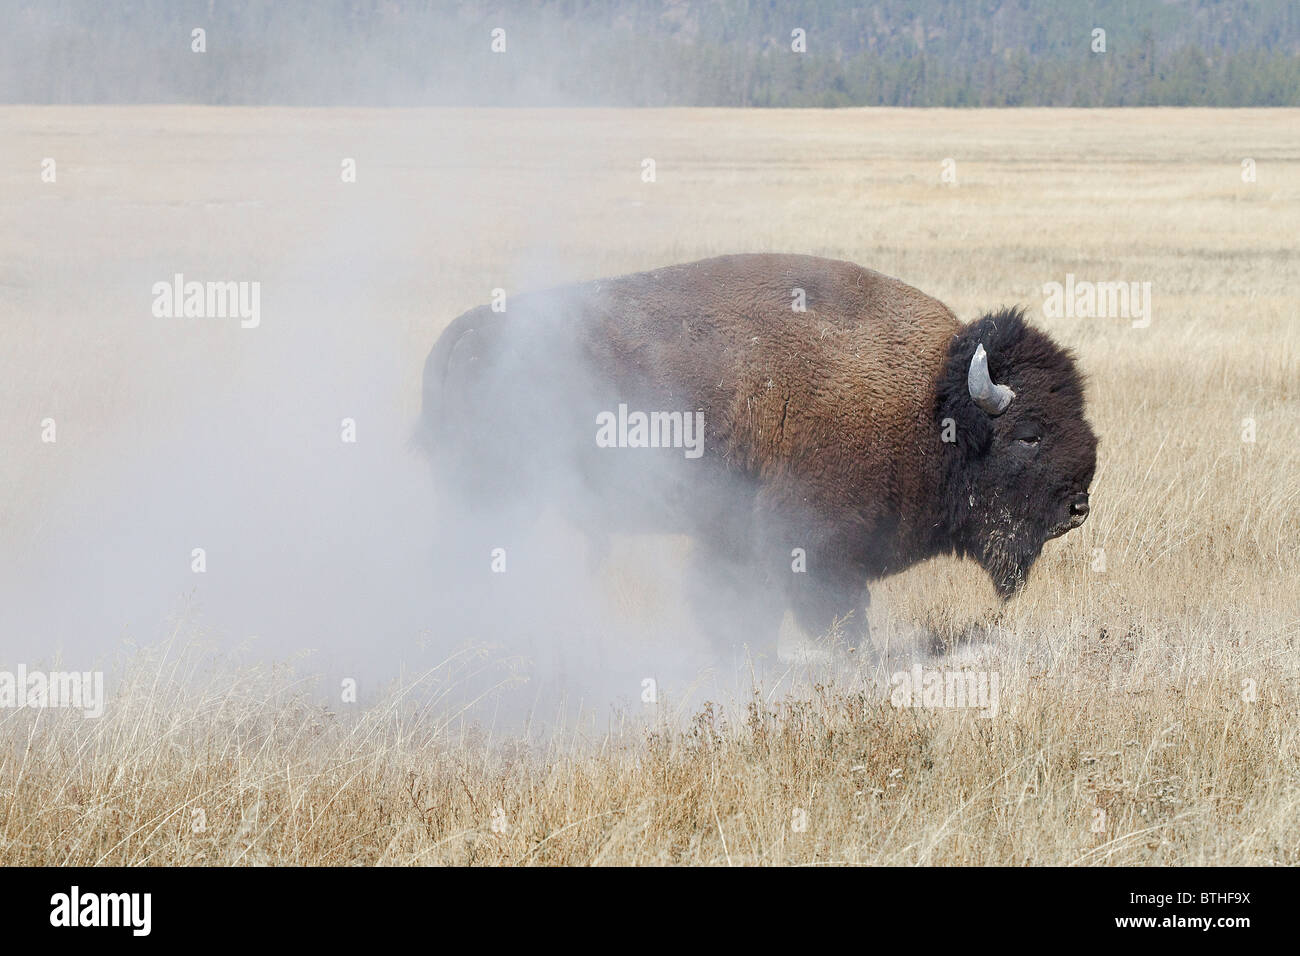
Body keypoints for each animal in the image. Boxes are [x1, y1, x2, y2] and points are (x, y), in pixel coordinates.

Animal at [418, 254, 1097, 655]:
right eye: (1030, 433)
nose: (1078, 506)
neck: (932, 403)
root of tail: (468, 329)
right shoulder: (812, 543)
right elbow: (831, 614)